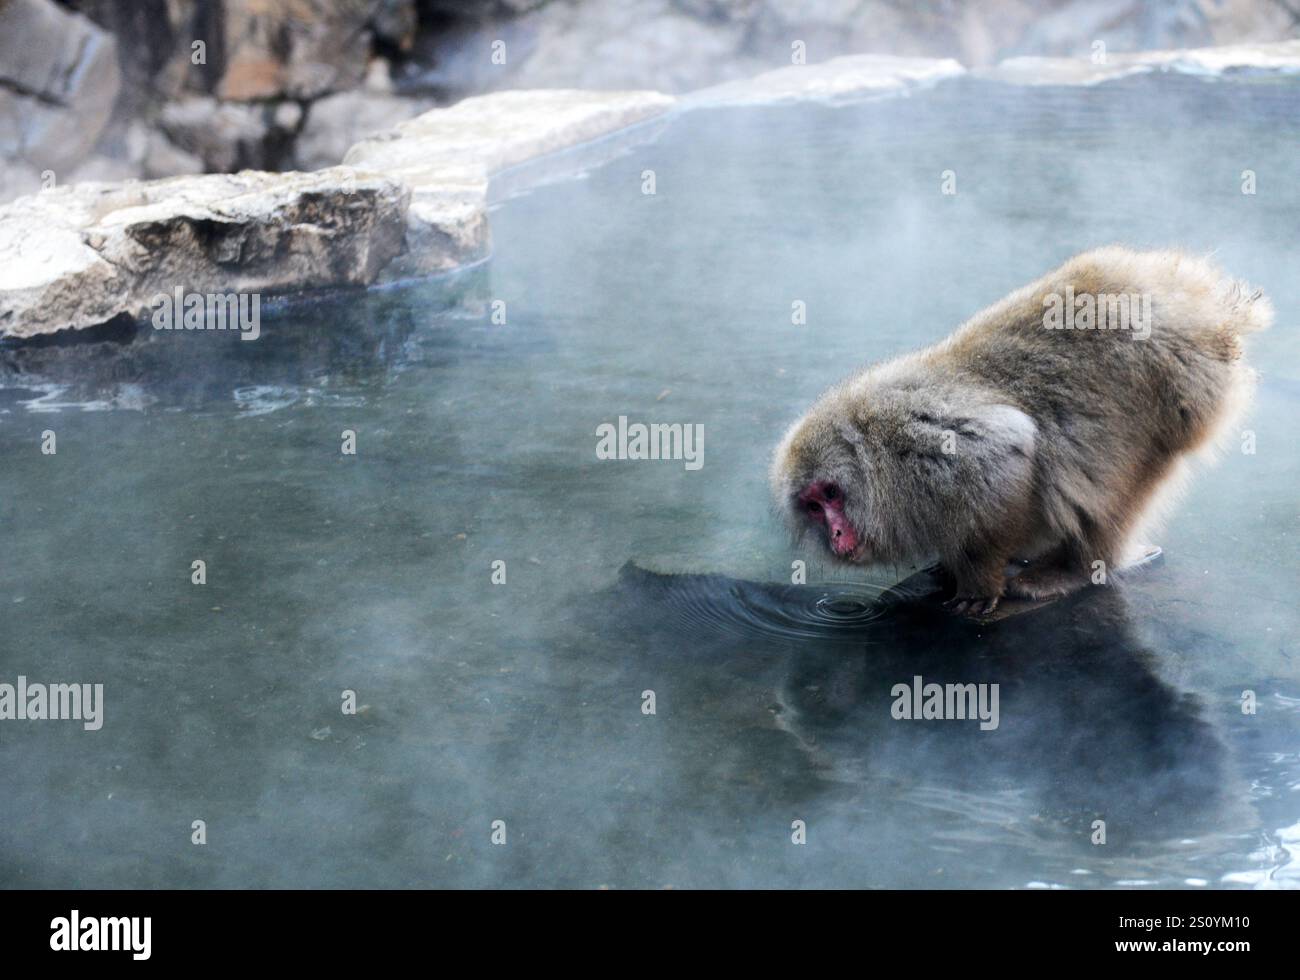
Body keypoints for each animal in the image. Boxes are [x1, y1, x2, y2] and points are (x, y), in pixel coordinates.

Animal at [771, 246, 1271, 616]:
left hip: (1174, 391)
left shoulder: (925, 445)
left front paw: (977, 577)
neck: (875, 455)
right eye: (813, 506)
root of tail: (1204, 304)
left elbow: (1009, 452)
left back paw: (1076, 568)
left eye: (831, 494)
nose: (836, 534)